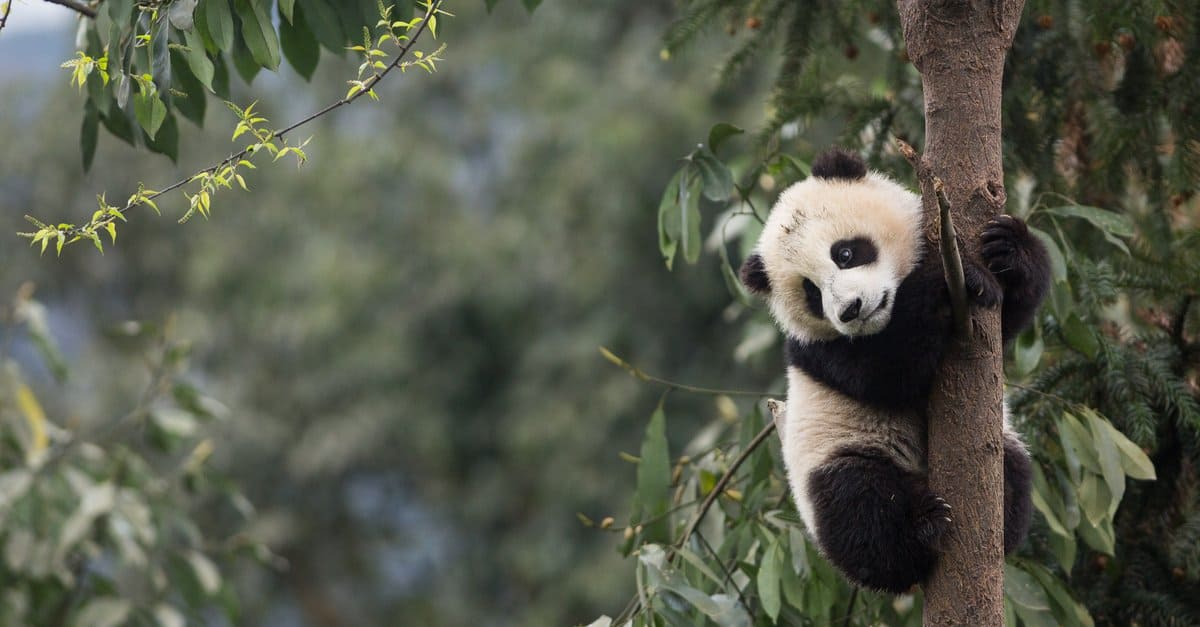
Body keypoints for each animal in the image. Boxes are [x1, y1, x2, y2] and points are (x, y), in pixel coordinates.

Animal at [738, 148, 1051, 593]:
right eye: (811, 293)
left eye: (845, 253)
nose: (850, 310)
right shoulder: (820, 350)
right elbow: (887, 371)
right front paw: (945, 283)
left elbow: (1010, 317)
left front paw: (1008, 248)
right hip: (837, 455)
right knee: (859, 506)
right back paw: (921, 529)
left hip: (1004, 441)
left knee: (1015, 467)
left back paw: (1001, 521)